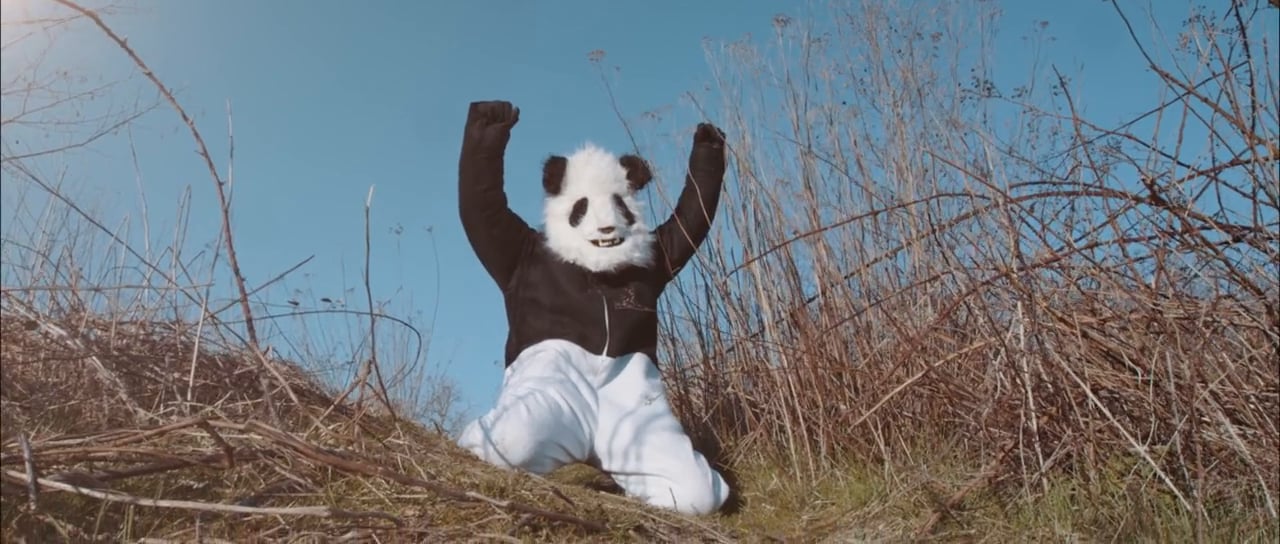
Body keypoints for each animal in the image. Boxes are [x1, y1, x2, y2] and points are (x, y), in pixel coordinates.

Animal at [454, 100, 731, 516]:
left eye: (620, 205)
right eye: (580, 207)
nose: (606, 231)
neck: (597, 272)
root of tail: (589, 446)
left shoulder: (660, 257)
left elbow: (691, 217)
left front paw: (709, 139)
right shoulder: (517, 253)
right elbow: (481, 206)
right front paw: (493, 116)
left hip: (638, 418)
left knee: (690, 482)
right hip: (552, 389)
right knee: (511, 436)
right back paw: (472, 442)